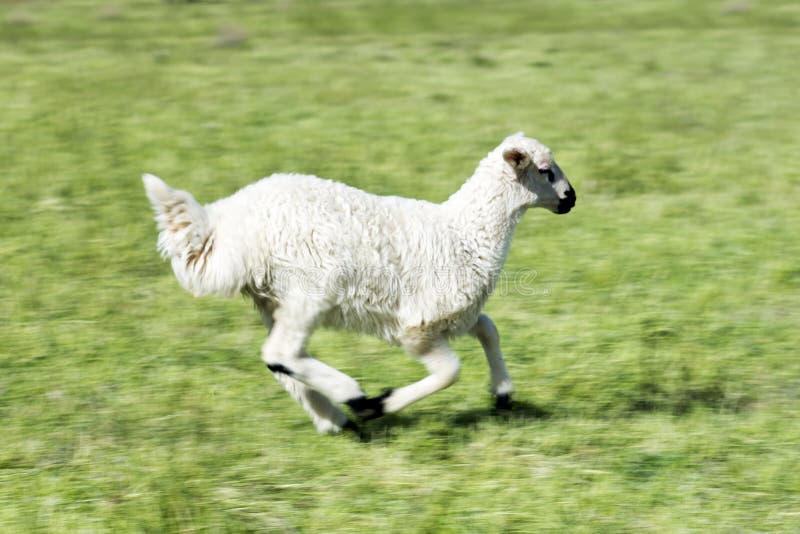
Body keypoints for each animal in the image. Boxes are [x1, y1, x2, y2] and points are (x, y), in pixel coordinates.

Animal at [143, 132, 576, 434]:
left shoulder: (457, 315)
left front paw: (503, 394)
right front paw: (382, 404)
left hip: (273, 298)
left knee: (279, 359)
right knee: (281, 353)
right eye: (545, 170)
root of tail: (222, 227)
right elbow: (450, 372)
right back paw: (351, 398)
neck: (464, 232)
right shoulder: (418, 327)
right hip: (310, 287)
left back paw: (333, 418)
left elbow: (489, 329)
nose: (571, 198)